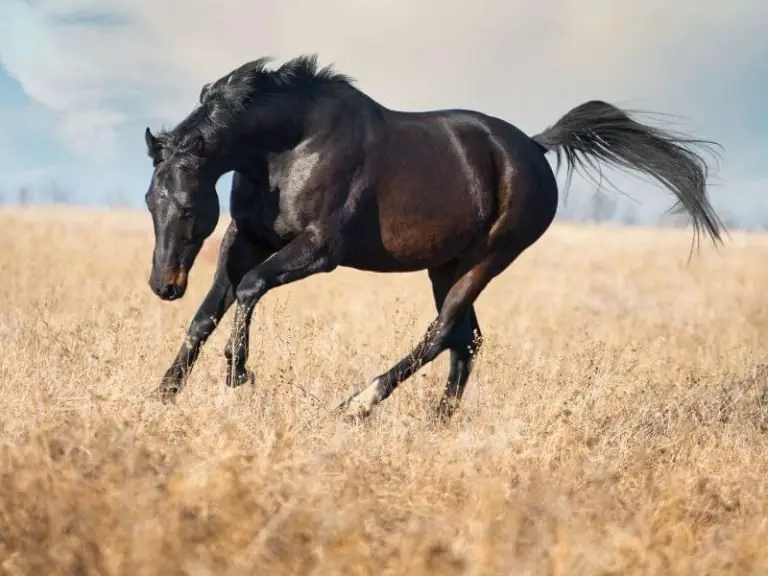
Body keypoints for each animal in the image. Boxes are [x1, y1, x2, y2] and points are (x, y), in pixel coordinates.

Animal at [142, 54, 724, 421]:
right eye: (151, 201)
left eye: (189, 206)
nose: (163, 286)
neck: (288, 147)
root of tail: (536, 148)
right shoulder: (246, 239)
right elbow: (206, 315)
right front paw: (162, 394)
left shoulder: (318, 250)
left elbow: (248, 290)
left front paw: (237, 374)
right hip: (445, 265)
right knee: (466, 339)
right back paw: (436, 422)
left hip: (487, 258)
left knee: (443, 332)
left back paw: (358, 404)